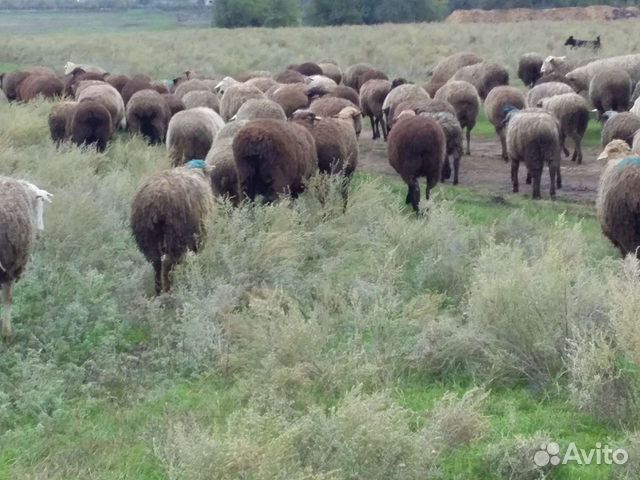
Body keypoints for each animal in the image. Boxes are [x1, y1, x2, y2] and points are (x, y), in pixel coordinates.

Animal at [130, 165, 214, 295]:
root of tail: (157, 202)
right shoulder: (200, 237)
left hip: (147, 236)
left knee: (156, 262)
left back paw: (158, 290)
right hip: (177, 236)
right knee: (168, 264)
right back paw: (168, 291)